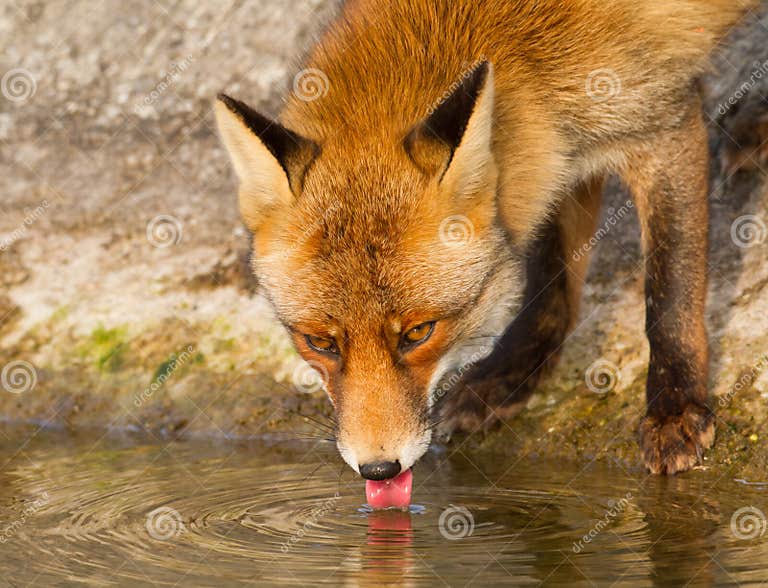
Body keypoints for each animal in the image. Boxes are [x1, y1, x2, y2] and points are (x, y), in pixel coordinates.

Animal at [214, 0, 760, 484]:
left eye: (419, 332)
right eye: (320, 343)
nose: (378, 469)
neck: (528, 47)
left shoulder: (662, 123)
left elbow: (669, 289)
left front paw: (676, 408)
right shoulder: (554, 159)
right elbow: (549, 276)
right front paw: (509, 375)